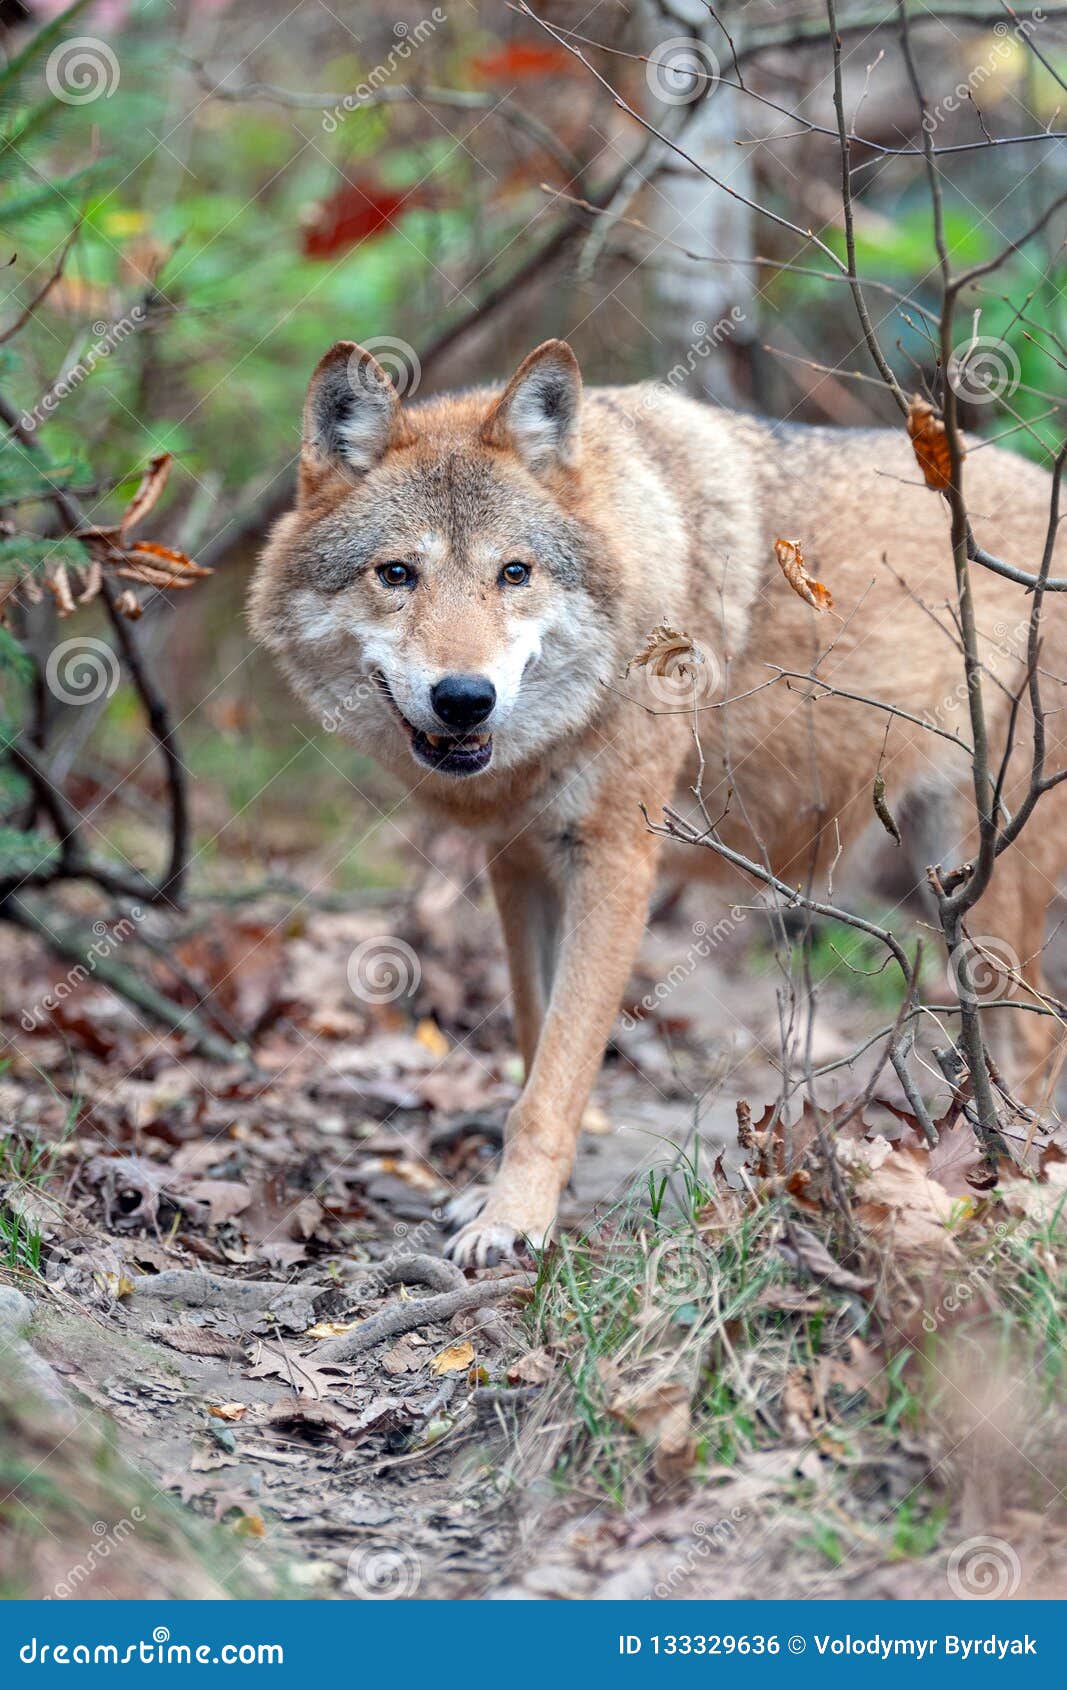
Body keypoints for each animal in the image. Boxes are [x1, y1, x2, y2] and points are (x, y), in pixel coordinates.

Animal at [249, 338, 1065, 1264]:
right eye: (396, 574)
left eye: (513, 574)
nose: (464, 699)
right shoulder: (519, 865)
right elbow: (535, 1046)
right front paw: (511, 1203)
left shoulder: (614, 861)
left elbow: (555, 1079)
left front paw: (513, 1221)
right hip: (933, 884)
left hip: (977, 877)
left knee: (1039, 1028)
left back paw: (1019, 1191)